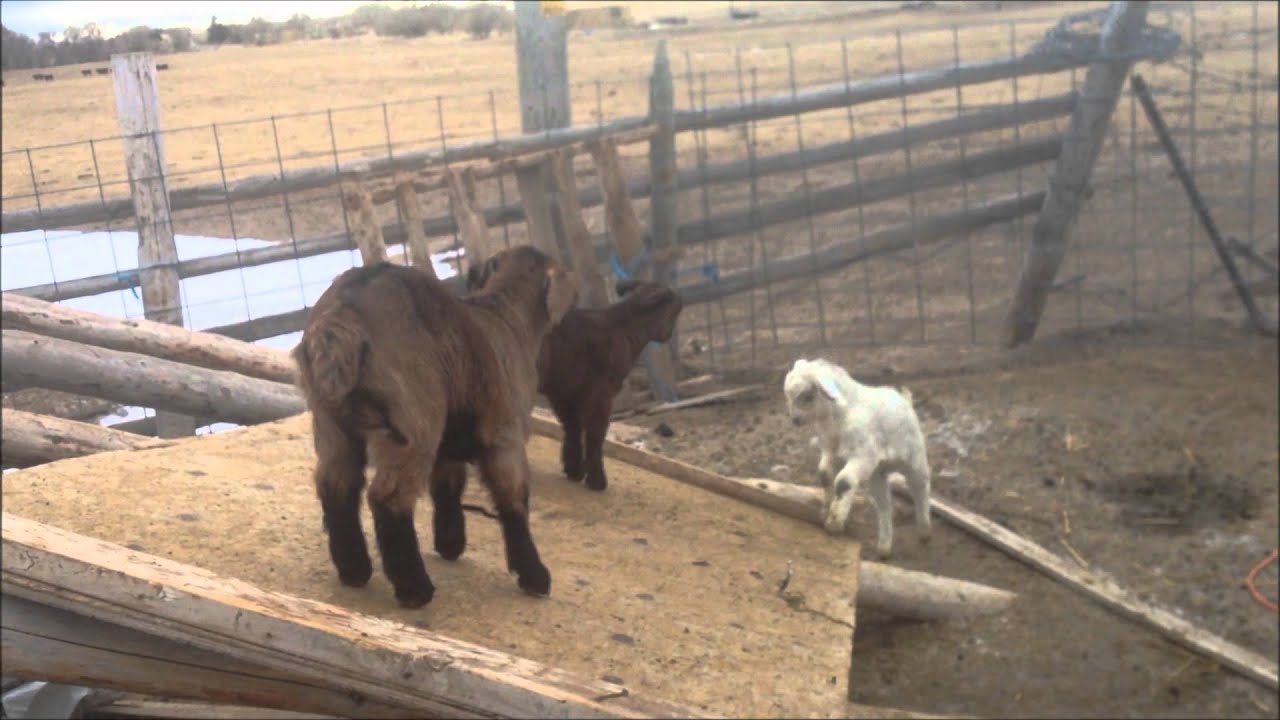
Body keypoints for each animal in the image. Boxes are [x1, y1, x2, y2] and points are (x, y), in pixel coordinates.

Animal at [292, 245, 578, 607]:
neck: (507, 319)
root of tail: (339, 317)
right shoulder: (505, 436)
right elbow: (513, 499)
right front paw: (534, 576)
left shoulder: (450, 438)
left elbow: (448, 486)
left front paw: (450, 543)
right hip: (412, 419)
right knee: (388, 498)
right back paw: (414, 588)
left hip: (331, 421)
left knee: (336, 484)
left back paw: (354, 570)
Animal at [467, 268, 683, 491]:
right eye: (675, 310)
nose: (668, 334)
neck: (623, 329)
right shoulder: (601, 395)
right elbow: (595, 434)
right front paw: (597, 480)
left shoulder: (566, 392)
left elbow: (572, 426)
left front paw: (574, 470)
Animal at [783, 357, 931, 559]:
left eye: (807, 395)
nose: (795, 420)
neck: (840, 417)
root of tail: (903, 398)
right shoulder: (831, 451)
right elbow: (824, 474)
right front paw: (826, 508)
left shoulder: (863, 455)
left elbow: (843, 481)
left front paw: (834, 522)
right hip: (877, 473)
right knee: (884, 504)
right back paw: (884, 547)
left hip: (914, 458)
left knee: (920, 487)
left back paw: (924, 531)